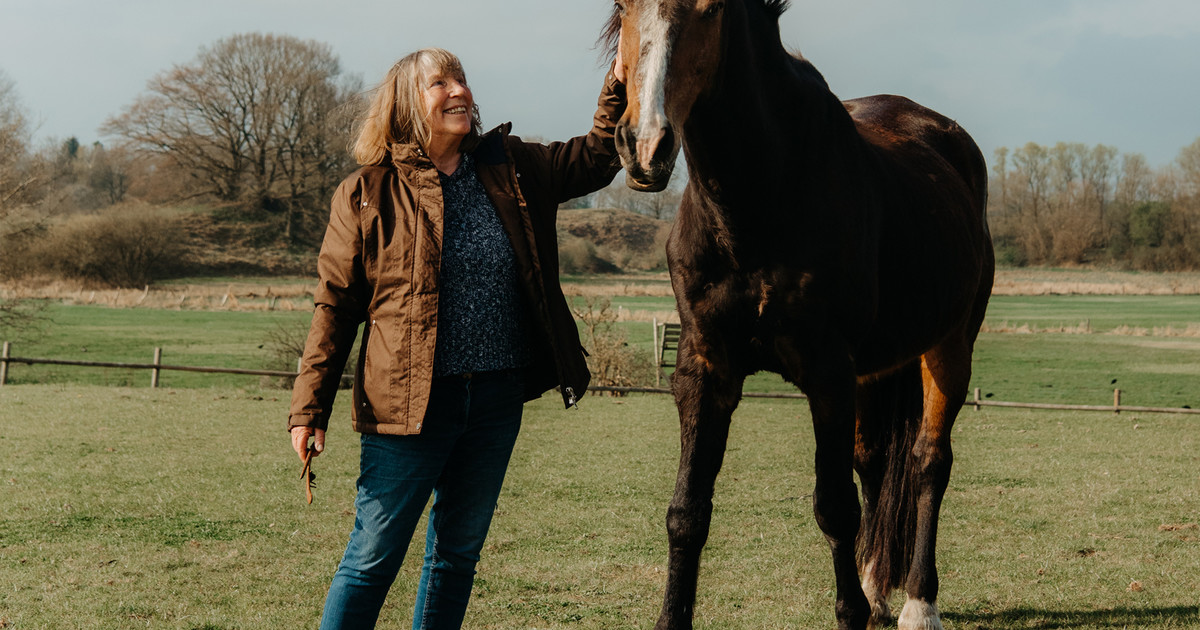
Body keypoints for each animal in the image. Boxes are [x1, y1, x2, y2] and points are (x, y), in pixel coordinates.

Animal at [602, 1, 994, 629]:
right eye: (622, 8)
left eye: (710, 12)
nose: (645, 145)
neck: (760, 198)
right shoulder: (703, 369)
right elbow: (686, 512)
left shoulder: (828, 371)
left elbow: (835, 508)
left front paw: (851, 612)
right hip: (877, 369)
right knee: (874, 461)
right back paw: (876, 587)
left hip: (949, 347)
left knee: (929, 462)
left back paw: (918, 601)